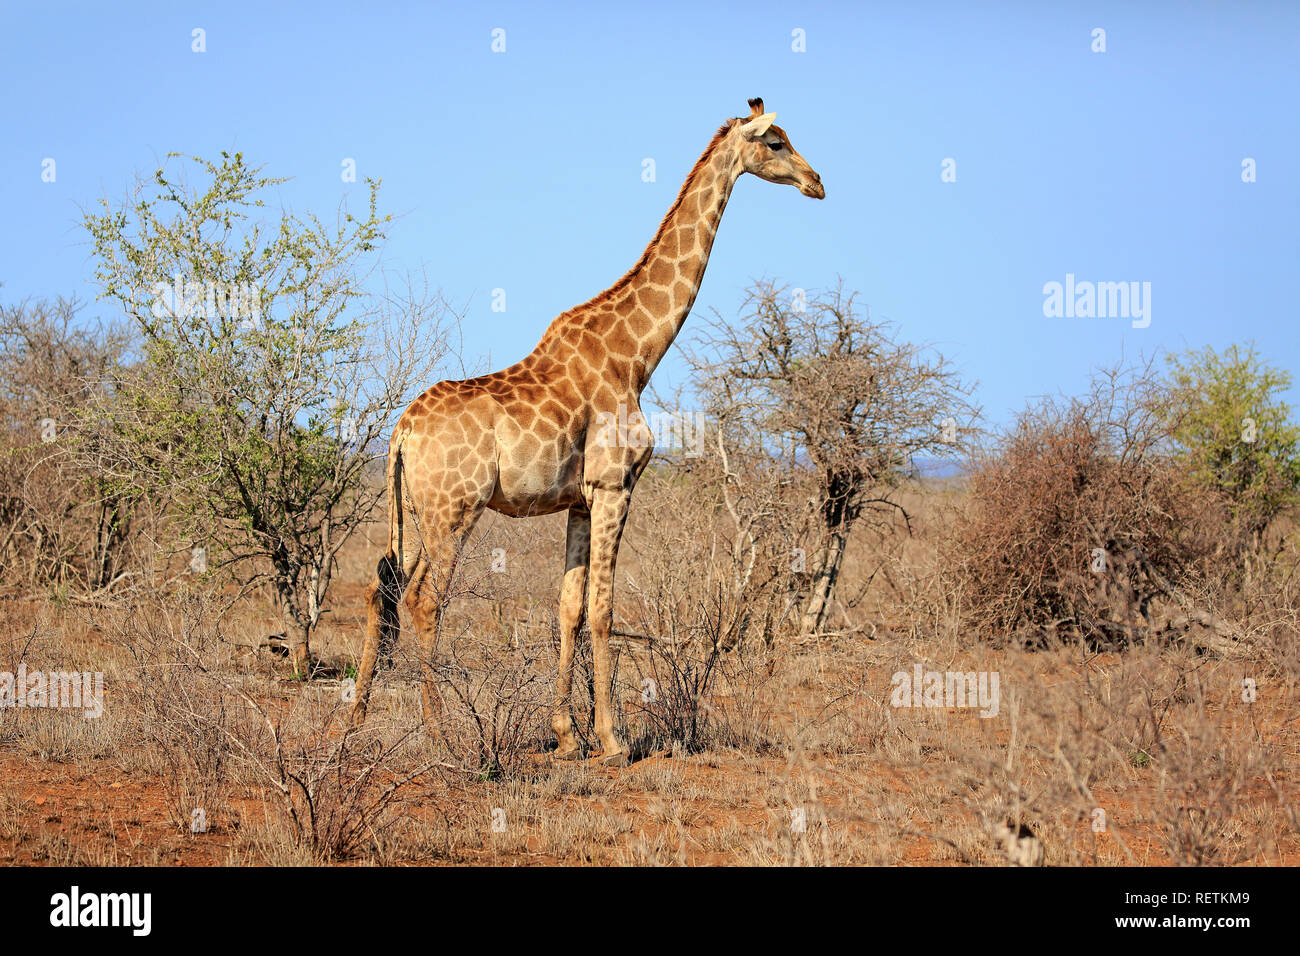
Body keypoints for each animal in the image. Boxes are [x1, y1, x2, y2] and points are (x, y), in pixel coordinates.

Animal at [350, 97, 824, 765]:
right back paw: (442, 737)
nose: (818, 183)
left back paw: (351, 724)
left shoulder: (578, 498)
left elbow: (569, 608)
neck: (637, 353)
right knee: (423, 599)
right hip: (454, 509)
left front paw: (567, 735)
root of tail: (401, 431)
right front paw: (613, 739)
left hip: (415, 511)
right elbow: (602, 607)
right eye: (777, 141)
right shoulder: (615, 485)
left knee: (382, 590)